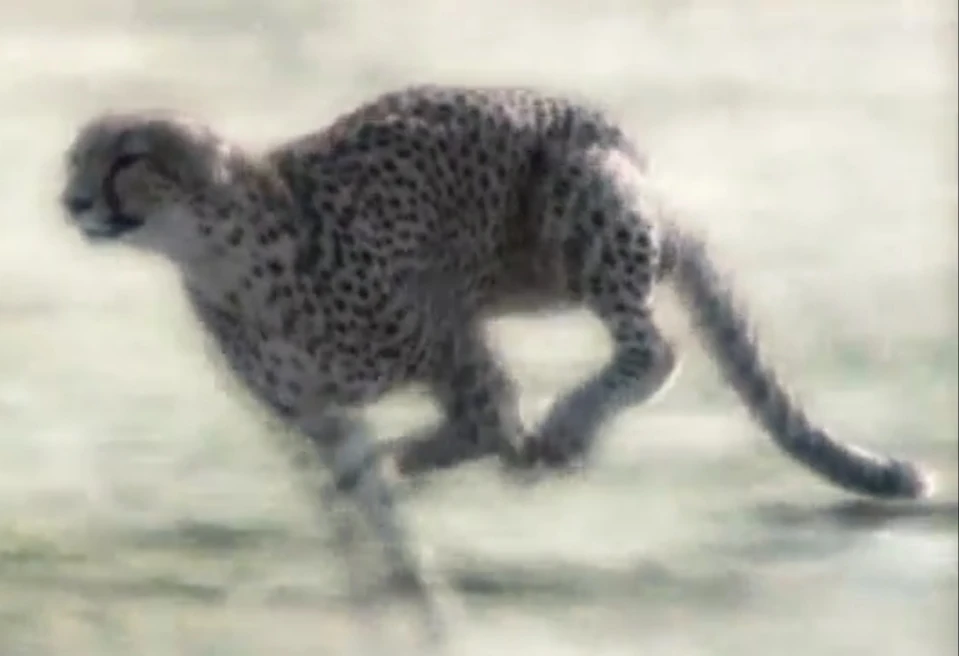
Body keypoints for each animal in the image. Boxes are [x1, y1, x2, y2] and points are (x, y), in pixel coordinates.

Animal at [59, 84, 934, 639]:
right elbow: (368, 503)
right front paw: (399, 594)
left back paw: (567, 429)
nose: (72, 201)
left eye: (128, 157)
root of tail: (646, 175)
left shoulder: (451, 347)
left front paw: (437, 468)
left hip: (575, 208)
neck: (219, 259)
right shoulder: (314, 416)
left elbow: (474, 427)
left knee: (654, 347)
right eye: (75, 158)